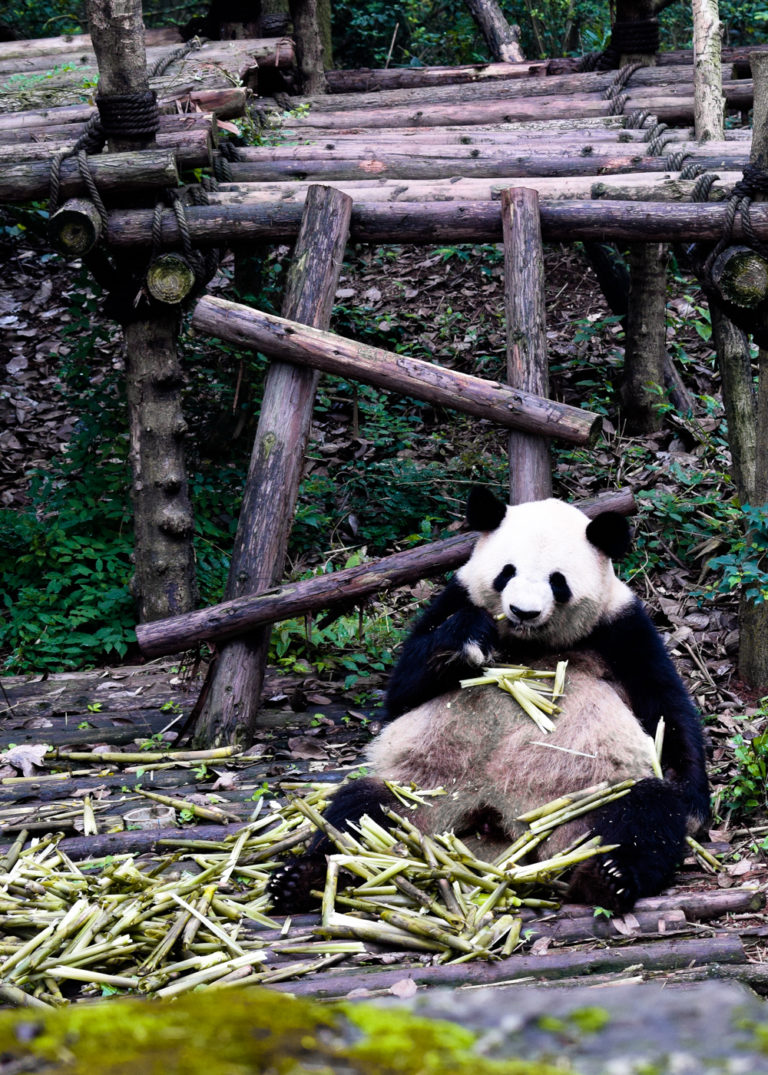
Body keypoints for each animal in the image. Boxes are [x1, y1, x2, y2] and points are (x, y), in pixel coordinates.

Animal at [269, 487, 710, 914]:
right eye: (506, 572)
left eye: (557, 581)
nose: (523, 611)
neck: (527, 643)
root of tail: (493, 825)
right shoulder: (456, 598)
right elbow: (402, 693)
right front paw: (469, 638)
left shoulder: (621, 627)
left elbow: (664, 709)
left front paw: (693, 803)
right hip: (420, 795)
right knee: (359, 811)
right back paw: (301, 879)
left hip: (583, 806)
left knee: (645, 813)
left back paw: (607, 877)